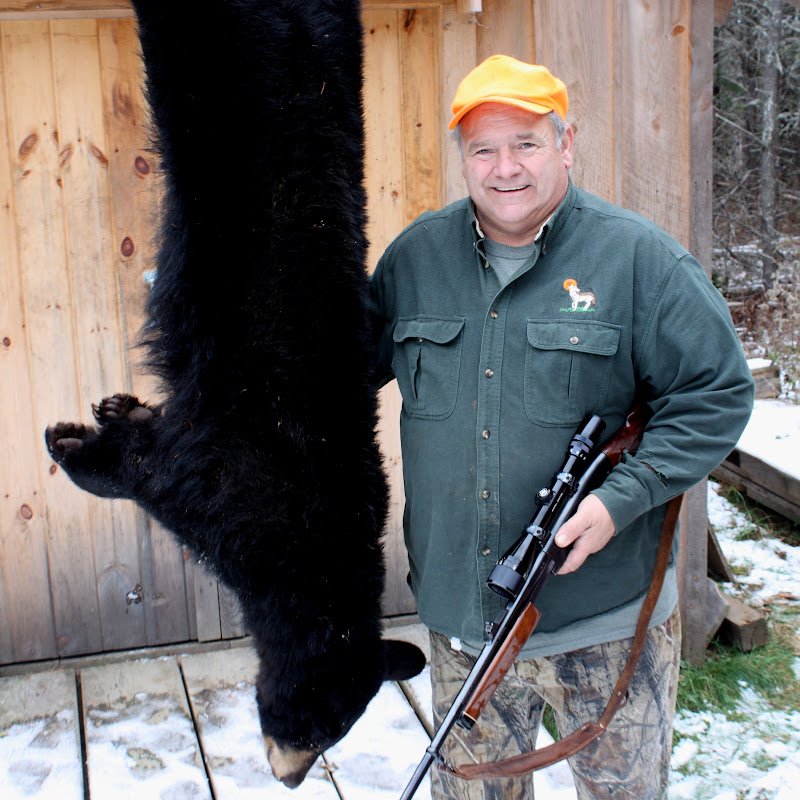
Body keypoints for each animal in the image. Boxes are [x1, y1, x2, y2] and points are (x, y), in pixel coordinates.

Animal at [44, 0, 424, 789]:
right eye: (319, 725)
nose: (289, 776)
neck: (295, 555)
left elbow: (147, 436)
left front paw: (113, 410)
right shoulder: (237, 478)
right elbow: (142, 469)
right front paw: (71, 440)